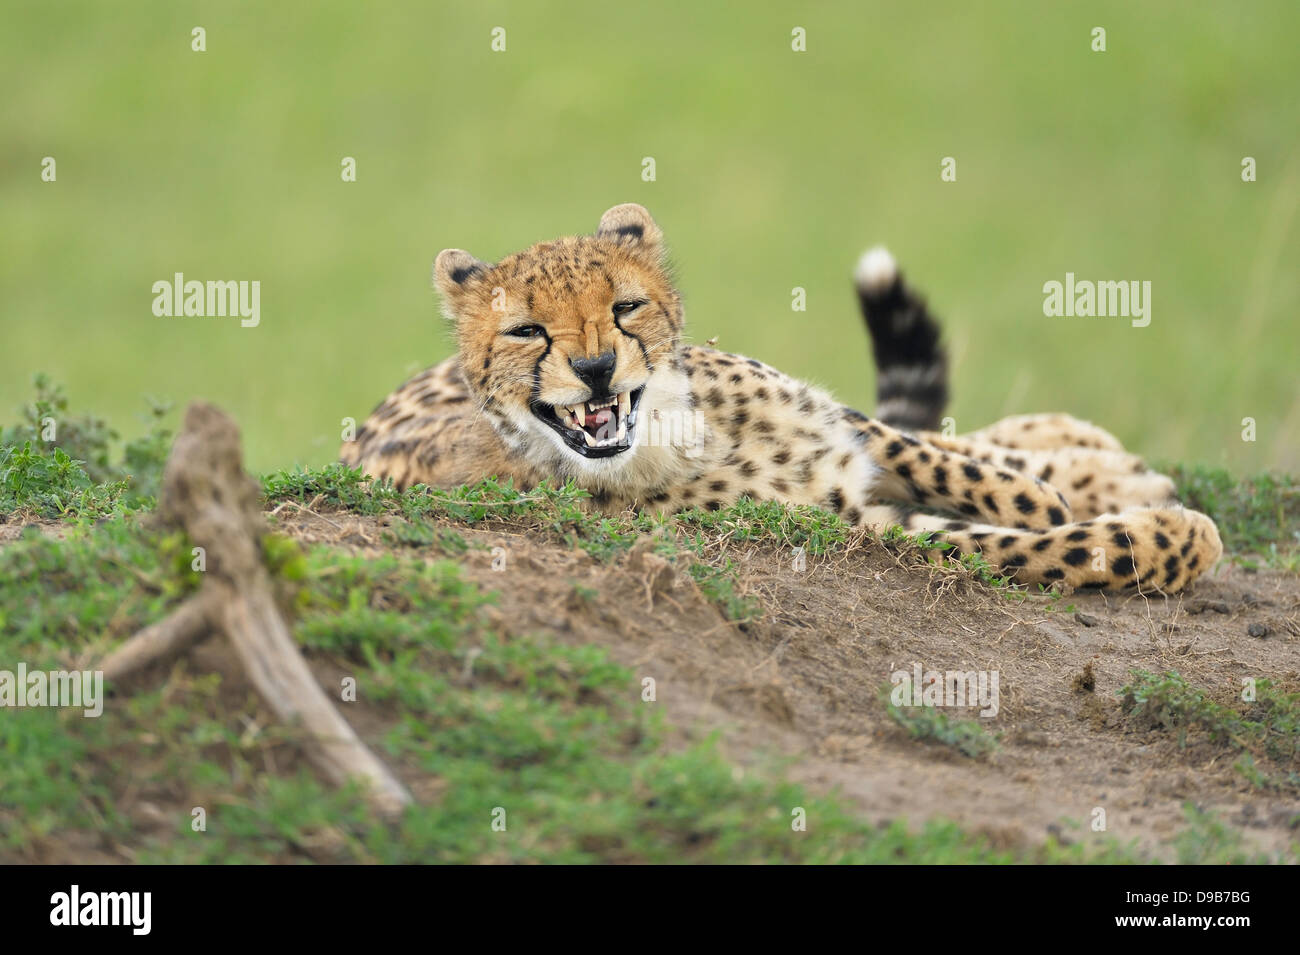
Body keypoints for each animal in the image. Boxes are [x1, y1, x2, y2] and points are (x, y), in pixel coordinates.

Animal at [341, 203, 1222, 594]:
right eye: (527, 330)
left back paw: (1087, 454)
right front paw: (1173, 538)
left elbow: (952, 461)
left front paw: (1045, 488)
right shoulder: (857, 528)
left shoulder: (829, 421)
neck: (675, 435)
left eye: (625, 307)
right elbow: (1051, 546)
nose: (594, 368)